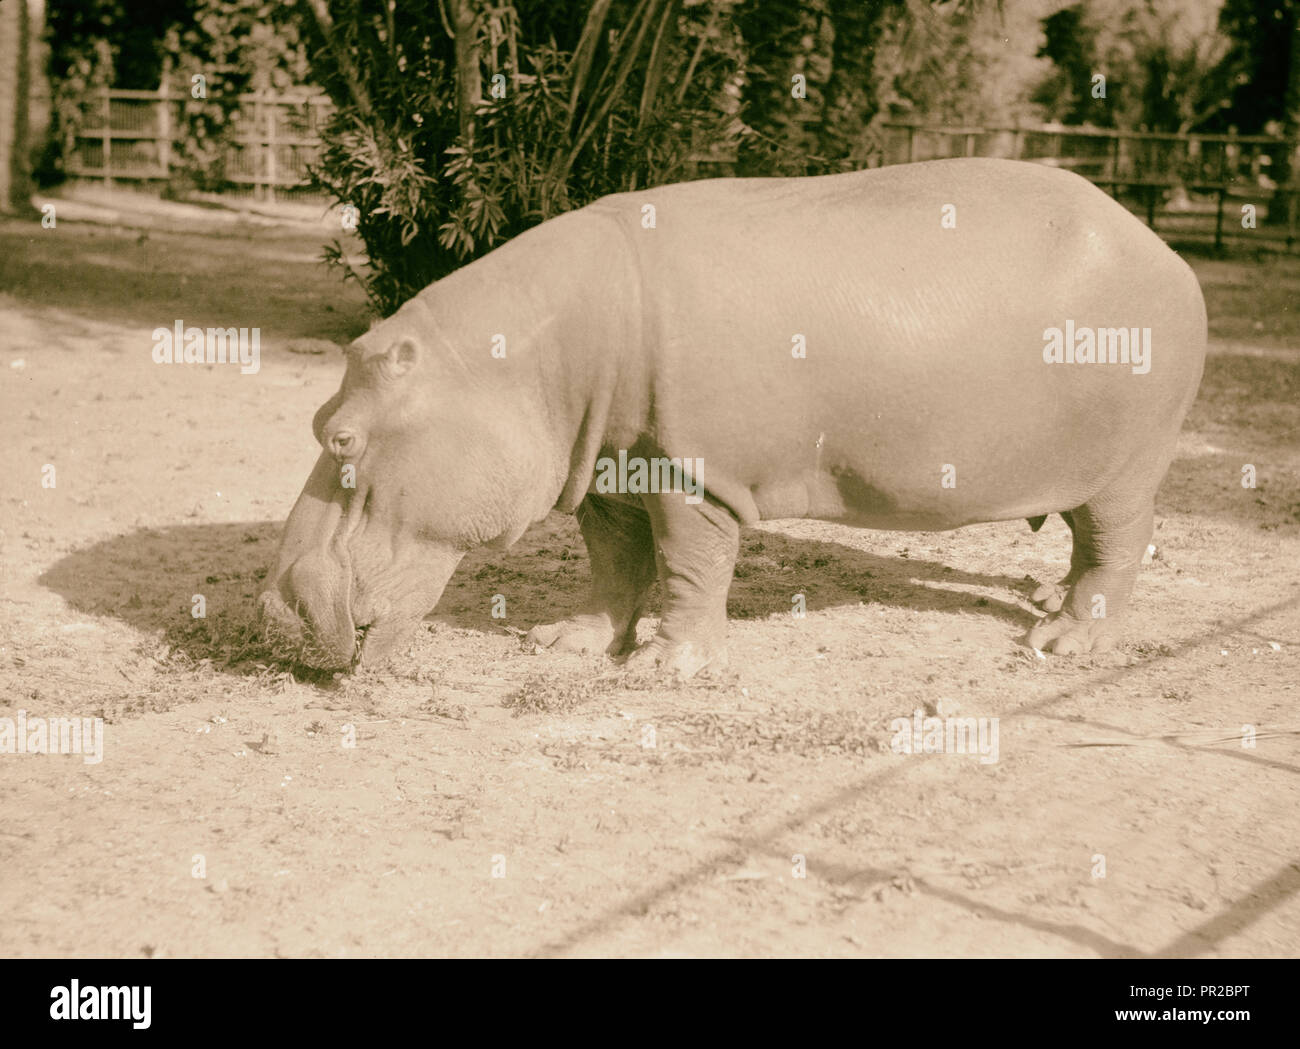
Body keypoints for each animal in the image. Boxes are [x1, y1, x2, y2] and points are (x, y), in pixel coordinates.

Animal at [259, 157, 1206, 675]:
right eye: (313, 419)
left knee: (1118, 542)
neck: (515, 365)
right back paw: (1046, 597)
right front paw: (566, 640)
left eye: (343, 438)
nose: (269, 611)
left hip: (1129, 466)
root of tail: (1167, 252)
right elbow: (612, 562)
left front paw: (668, 665)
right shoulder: (610, 469)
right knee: (1086, 539)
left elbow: (688, 562)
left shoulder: (691, 470)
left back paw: (1065, 640)